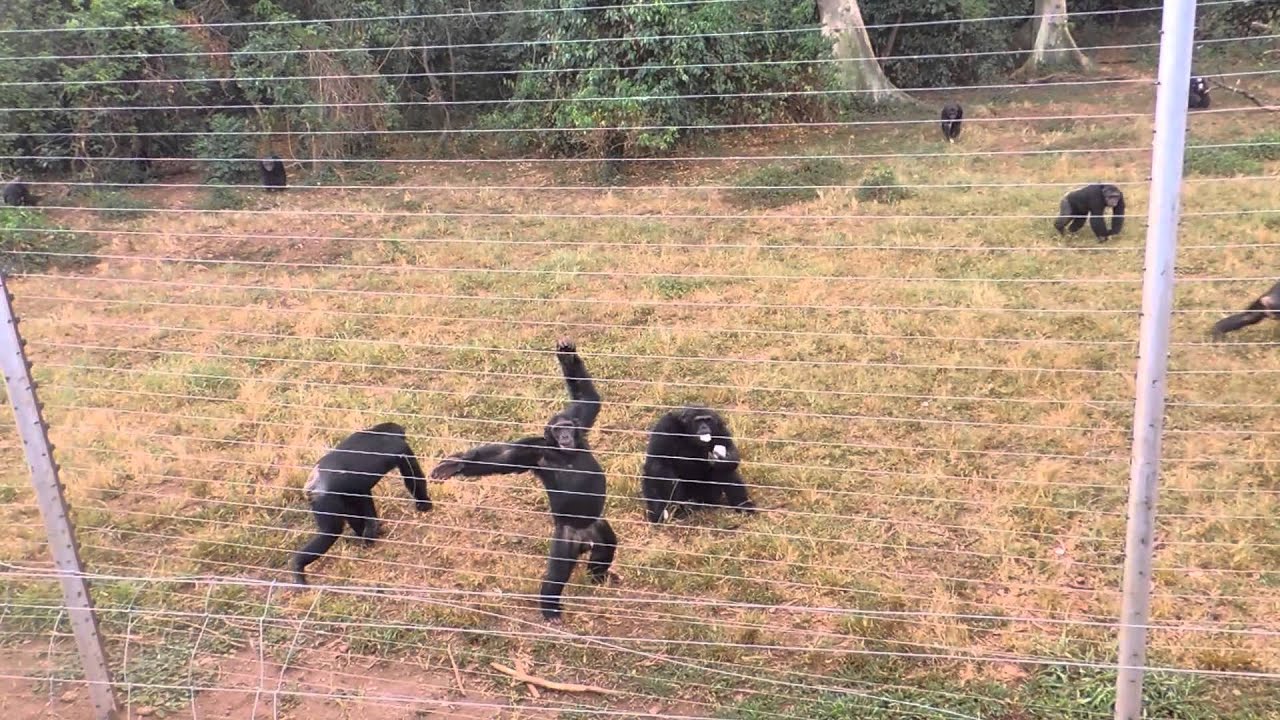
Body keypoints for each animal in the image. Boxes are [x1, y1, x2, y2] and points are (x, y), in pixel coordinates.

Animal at [289, 422, 432, 585]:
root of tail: (313, 483)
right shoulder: (401, 448)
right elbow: (412, 476)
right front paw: (424, 503)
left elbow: (361, 498)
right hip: (325, 500)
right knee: (330, 532)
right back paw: (298, 564)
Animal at [429, 339, 617, 622]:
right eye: (557, 430)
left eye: (567, 427)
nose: (565, 436)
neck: (563, 452)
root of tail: (585, 539)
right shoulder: (530, 451)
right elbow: (504, 456)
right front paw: (456, 465)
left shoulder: (581, 422)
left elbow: (587, 398)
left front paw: (567, 356)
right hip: (566, 538)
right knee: (555, 575)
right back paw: (550, 609)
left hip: (598, 527)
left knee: (607, 549)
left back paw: (599, 577)